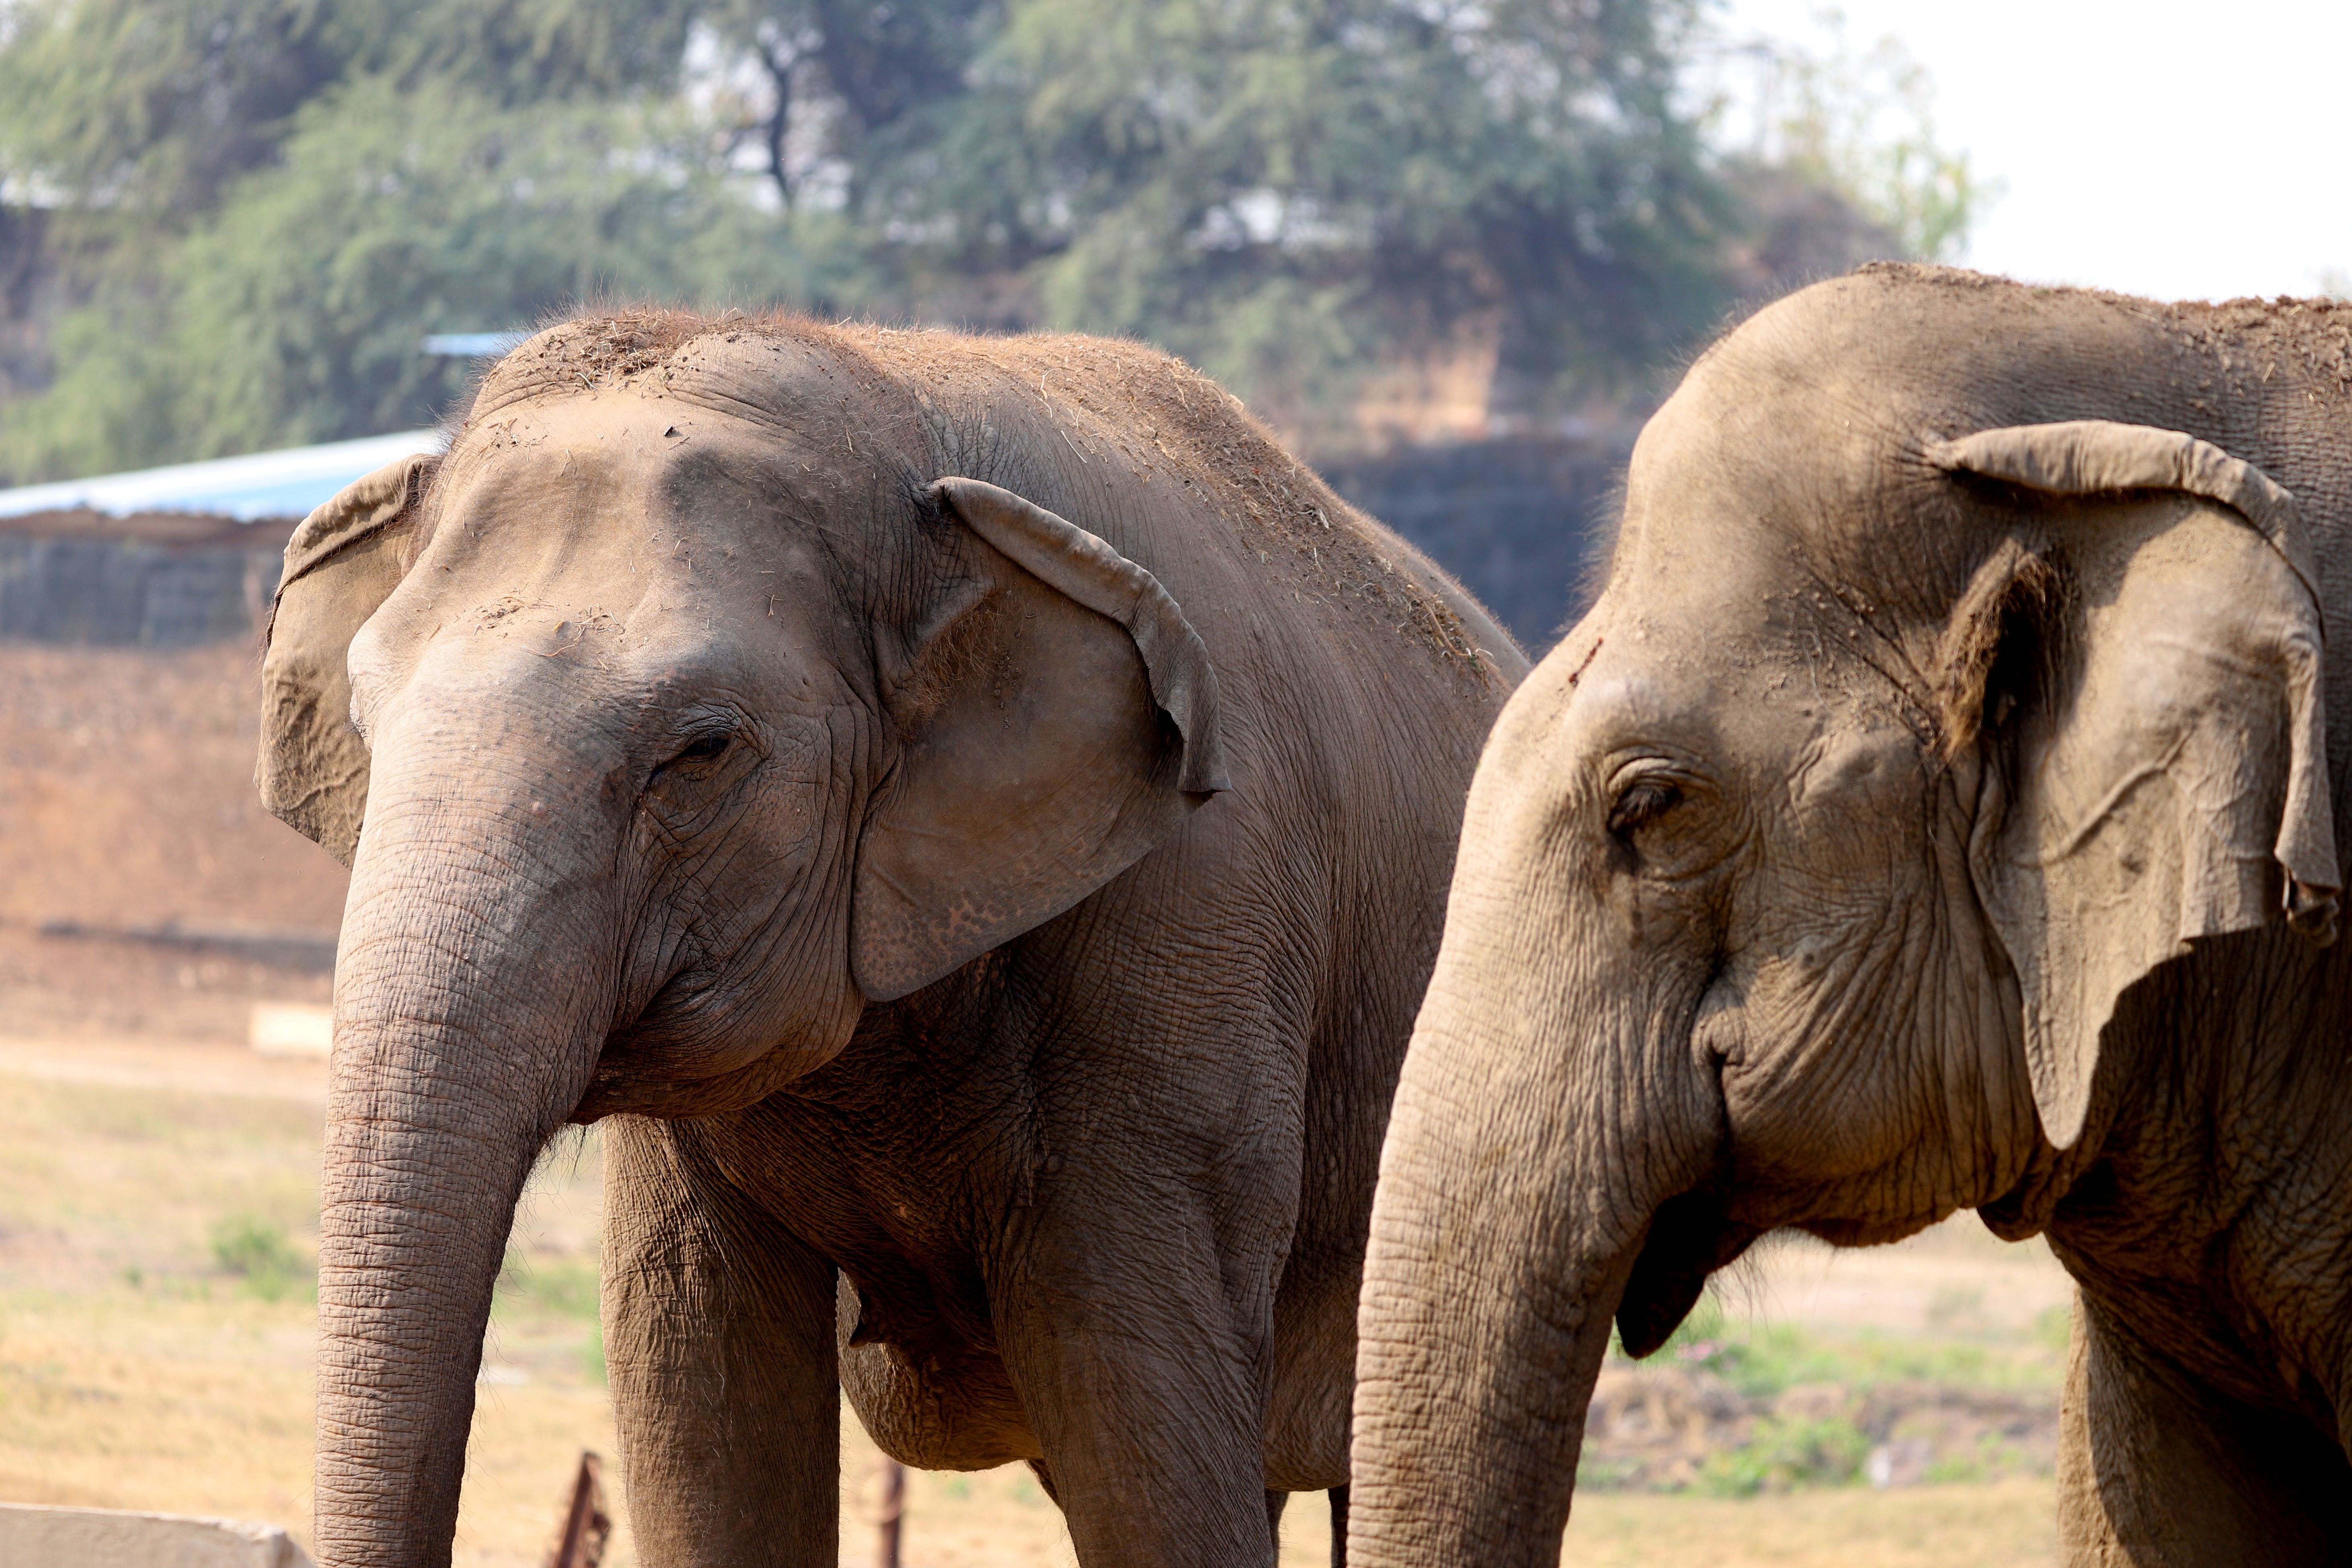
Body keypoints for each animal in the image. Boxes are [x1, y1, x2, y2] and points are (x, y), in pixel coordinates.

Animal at [255, 309, 1525, 1568]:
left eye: (703, 751)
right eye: (361, 721)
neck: (896, 405)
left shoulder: (1195, 923)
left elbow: (1149, 1428)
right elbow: (696, 1391)